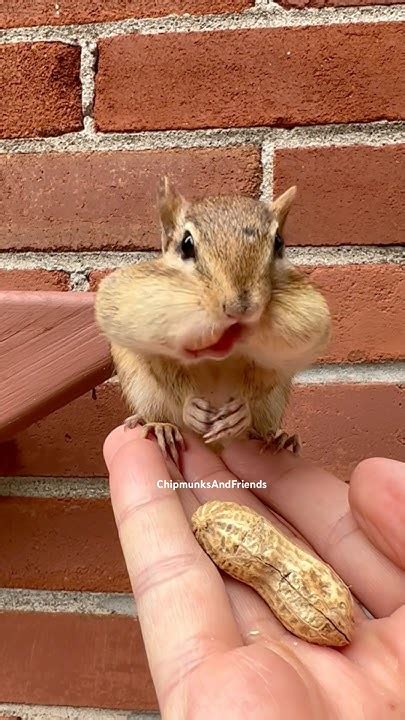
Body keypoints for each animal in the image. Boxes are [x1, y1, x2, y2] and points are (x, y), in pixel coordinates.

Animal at [95, 177, 331, 467]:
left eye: (279, 242)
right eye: (186, 244)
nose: (240, 307)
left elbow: (263, 379)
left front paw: (242, 410)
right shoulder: (147, 340)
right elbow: (167, 372)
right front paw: (190, 408)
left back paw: (277, 439)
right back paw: (160, 427)